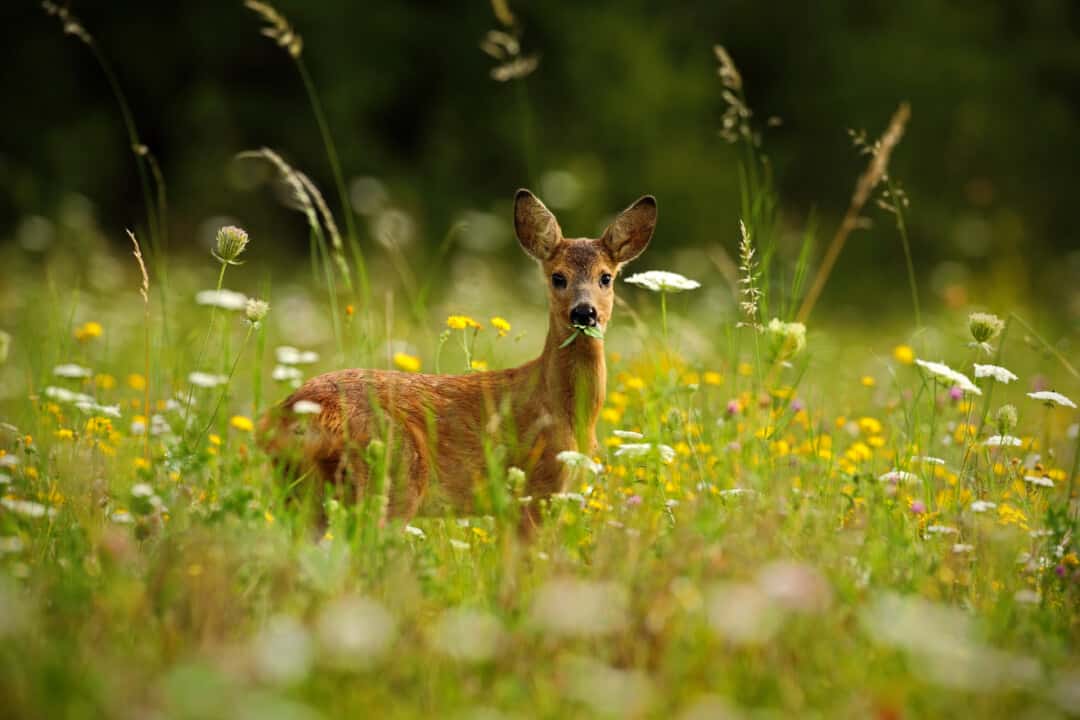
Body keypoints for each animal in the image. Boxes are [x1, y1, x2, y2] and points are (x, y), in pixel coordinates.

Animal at [259, 189, 657, 531]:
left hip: (304, 490)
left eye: (606, 277)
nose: (584, 313)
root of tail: (291, 414)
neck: (565, 411)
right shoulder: (536, 487)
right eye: (558, 277)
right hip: (391, 476)